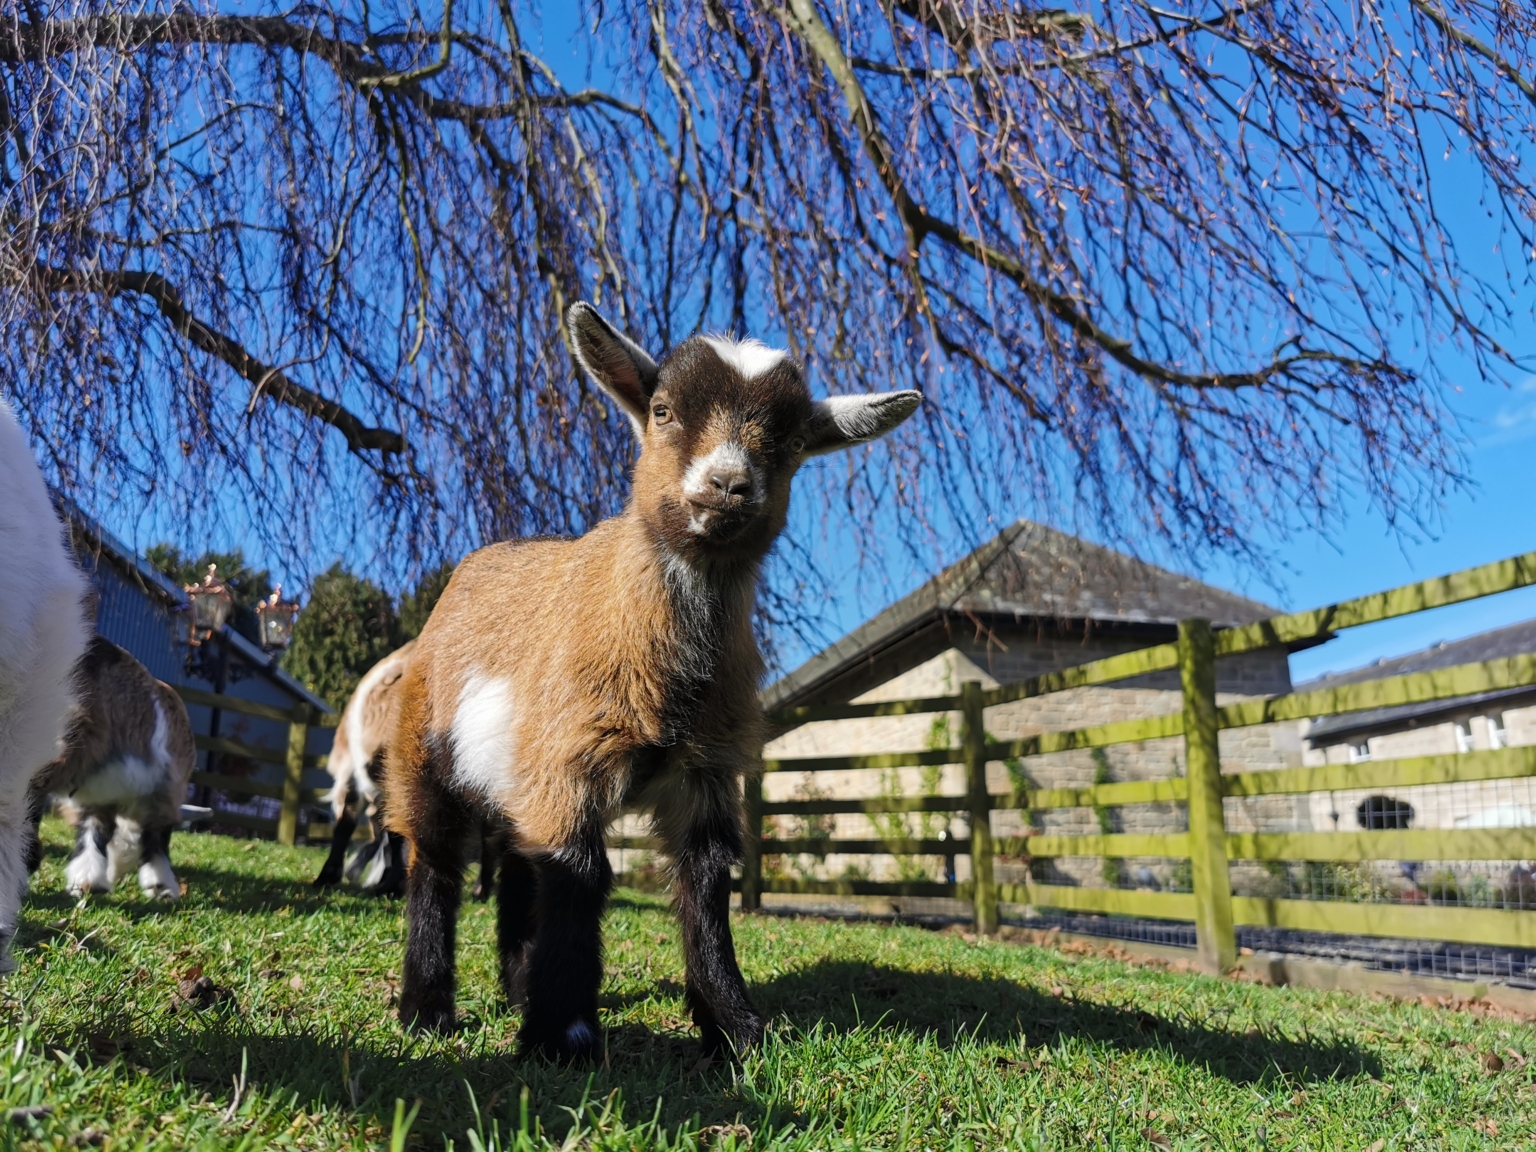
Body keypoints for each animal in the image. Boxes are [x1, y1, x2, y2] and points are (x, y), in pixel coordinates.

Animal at [383, 302, 920, 1059]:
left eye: (789, 441)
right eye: (663, 410)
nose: (727, 486)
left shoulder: (706, 771)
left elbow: (705, 884)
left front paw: (735, 1029)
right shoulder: (573, 756)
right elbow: (580, 874)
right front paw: (564, 1035)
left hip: (517, 768)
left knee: (519, 860)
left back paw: (515, 990)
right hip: (421, 745)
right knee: (434, 858)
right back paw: (426, 1010)